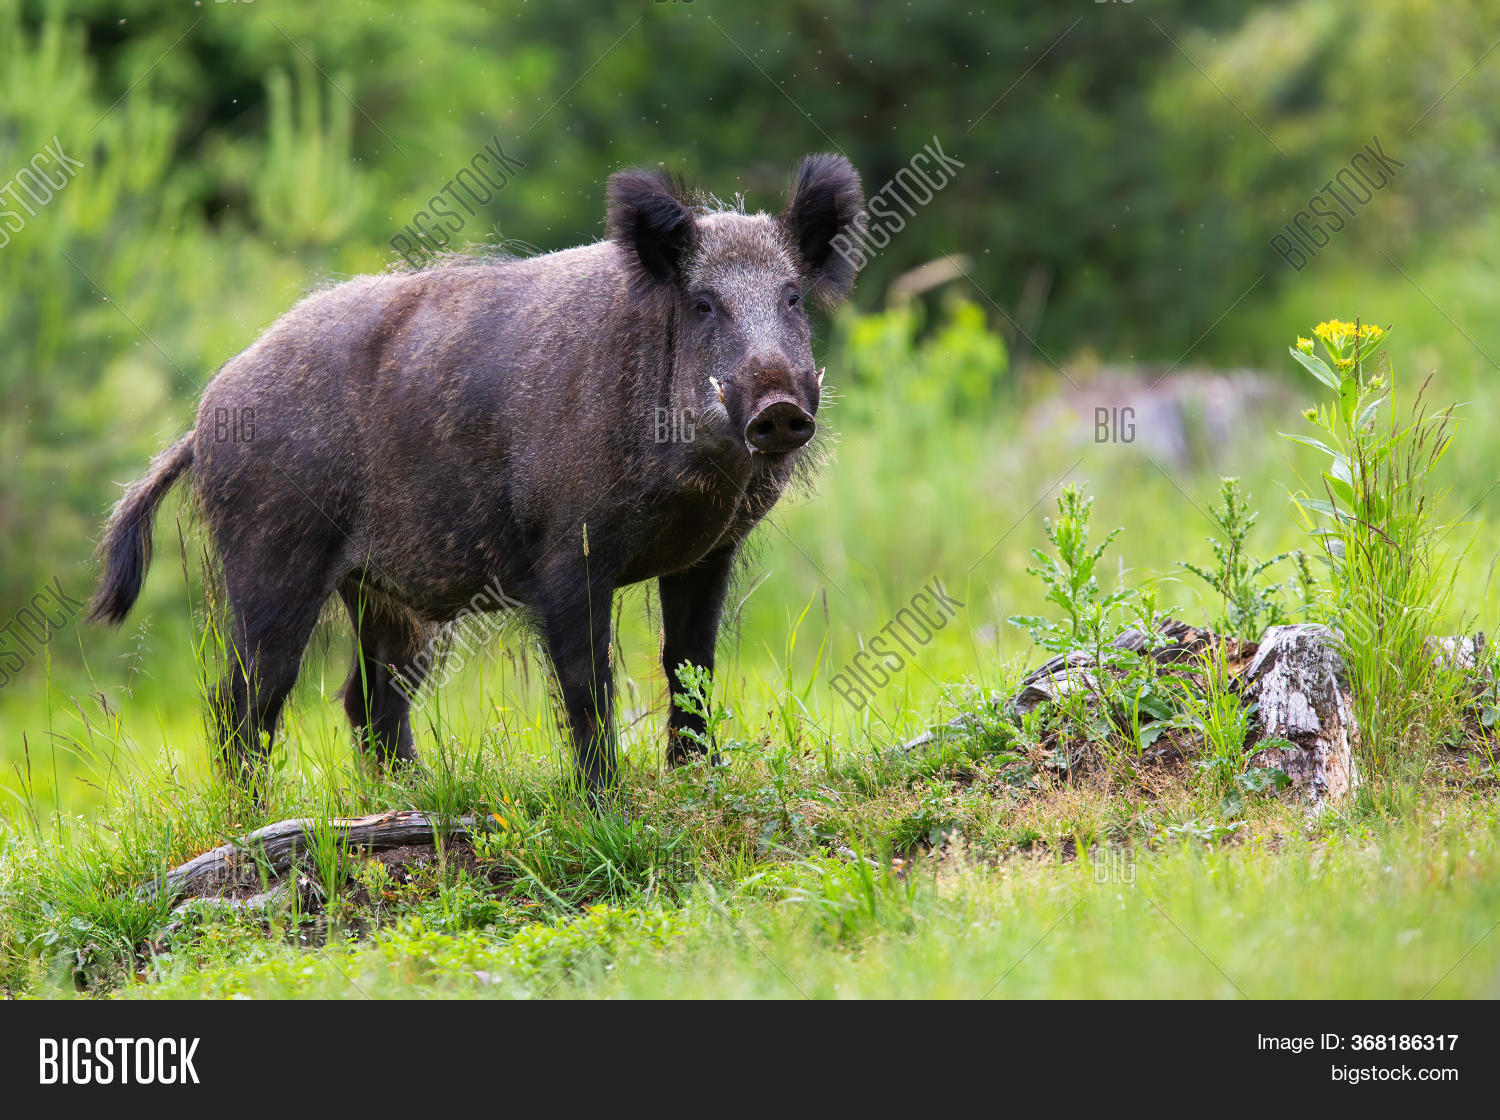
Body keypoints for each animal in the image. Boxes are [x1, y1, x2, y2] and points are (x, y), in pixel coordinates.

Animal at [89, 154, 865, 795]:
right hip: (270, 554)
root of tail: (202, 420)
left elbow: (689, 668)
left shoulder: (708, 553)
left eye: (793, 297)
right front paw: (604, 801)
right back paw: (254, 816)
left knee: (367, 695)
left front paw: (696, 782)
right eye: (704, 304)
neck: (698, 487)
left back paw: (413, 795)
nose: (778, 407)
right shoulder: (566, 551)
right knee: (245, 699)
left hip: (377, 592)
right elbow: (588, 684)